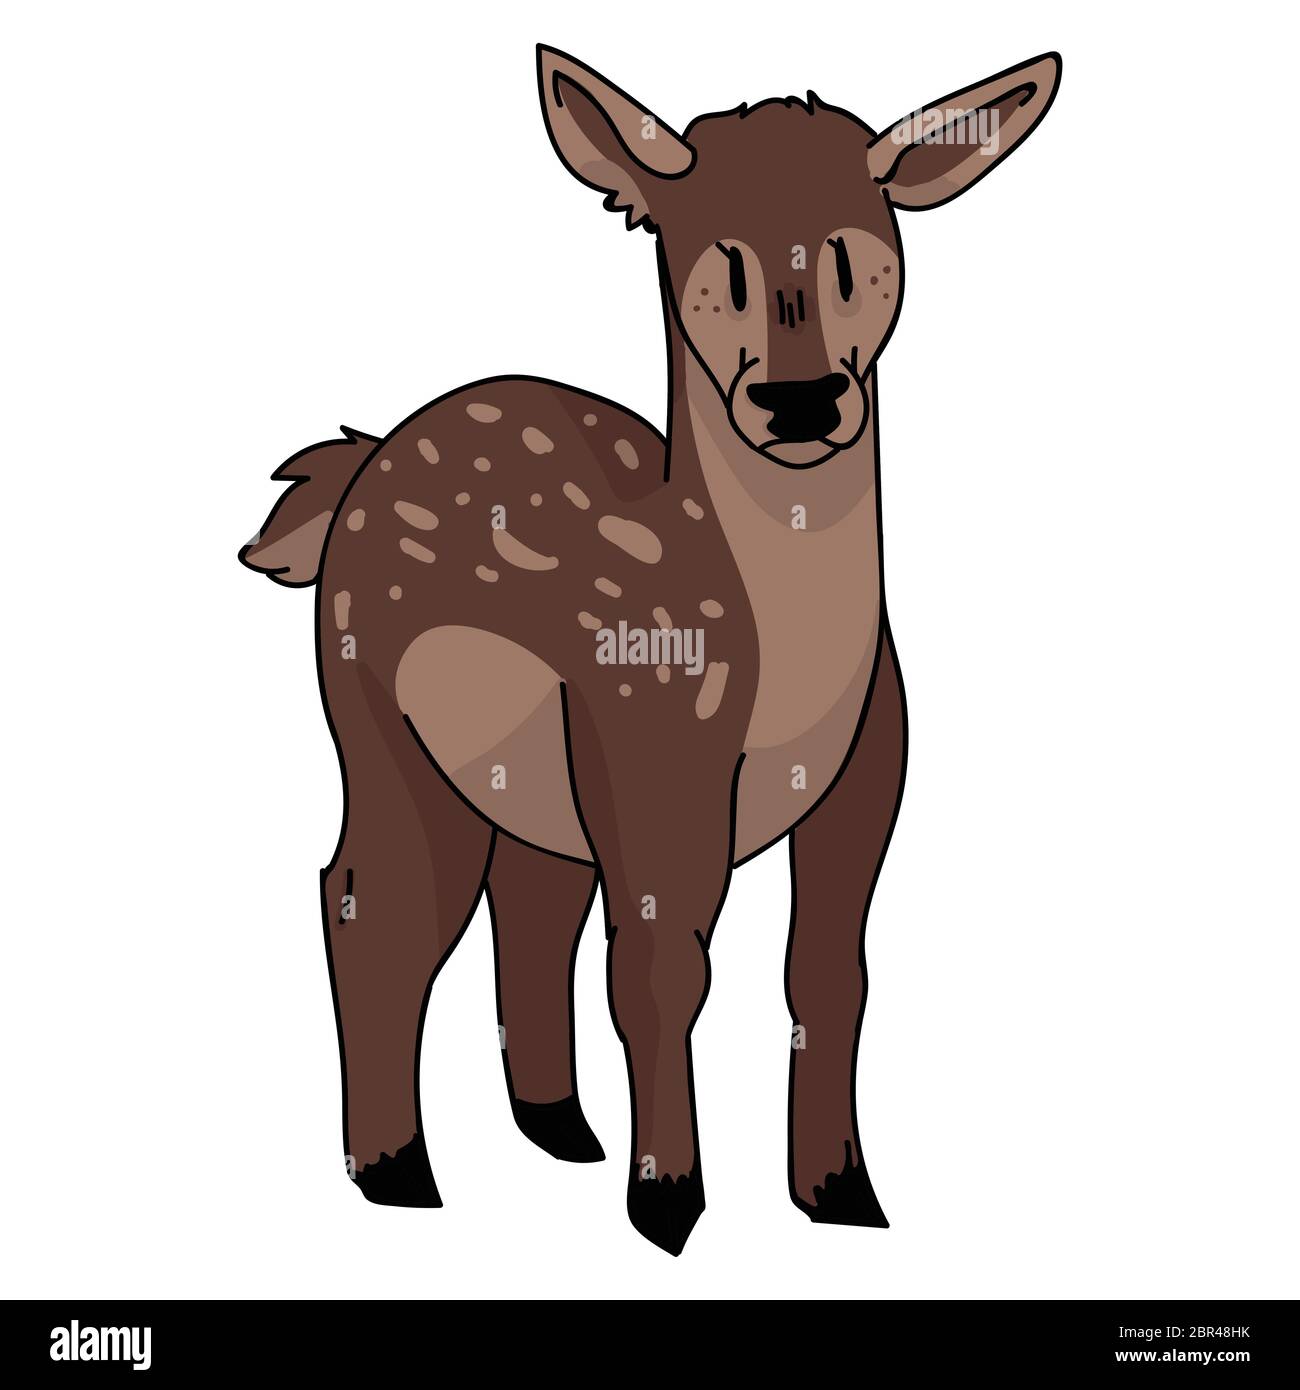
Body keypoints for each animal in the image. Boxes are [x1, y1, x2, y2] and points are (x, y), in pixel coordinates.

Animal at [239, 44, 1061, 1255]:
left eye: (861, 247)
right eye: (709, 256)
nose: (801, 401)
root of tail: (354, 466)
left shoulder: (875, 767)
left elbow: (829, 975)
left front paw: (842, 1195)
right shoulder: (649, 736)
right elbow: (663, 970)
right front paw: (669, 1203)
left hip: (526, 768)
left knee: (528, 896)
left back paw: (558, 1128)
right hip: (372, 703)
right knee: (372, 896)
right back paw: (398, 1172)